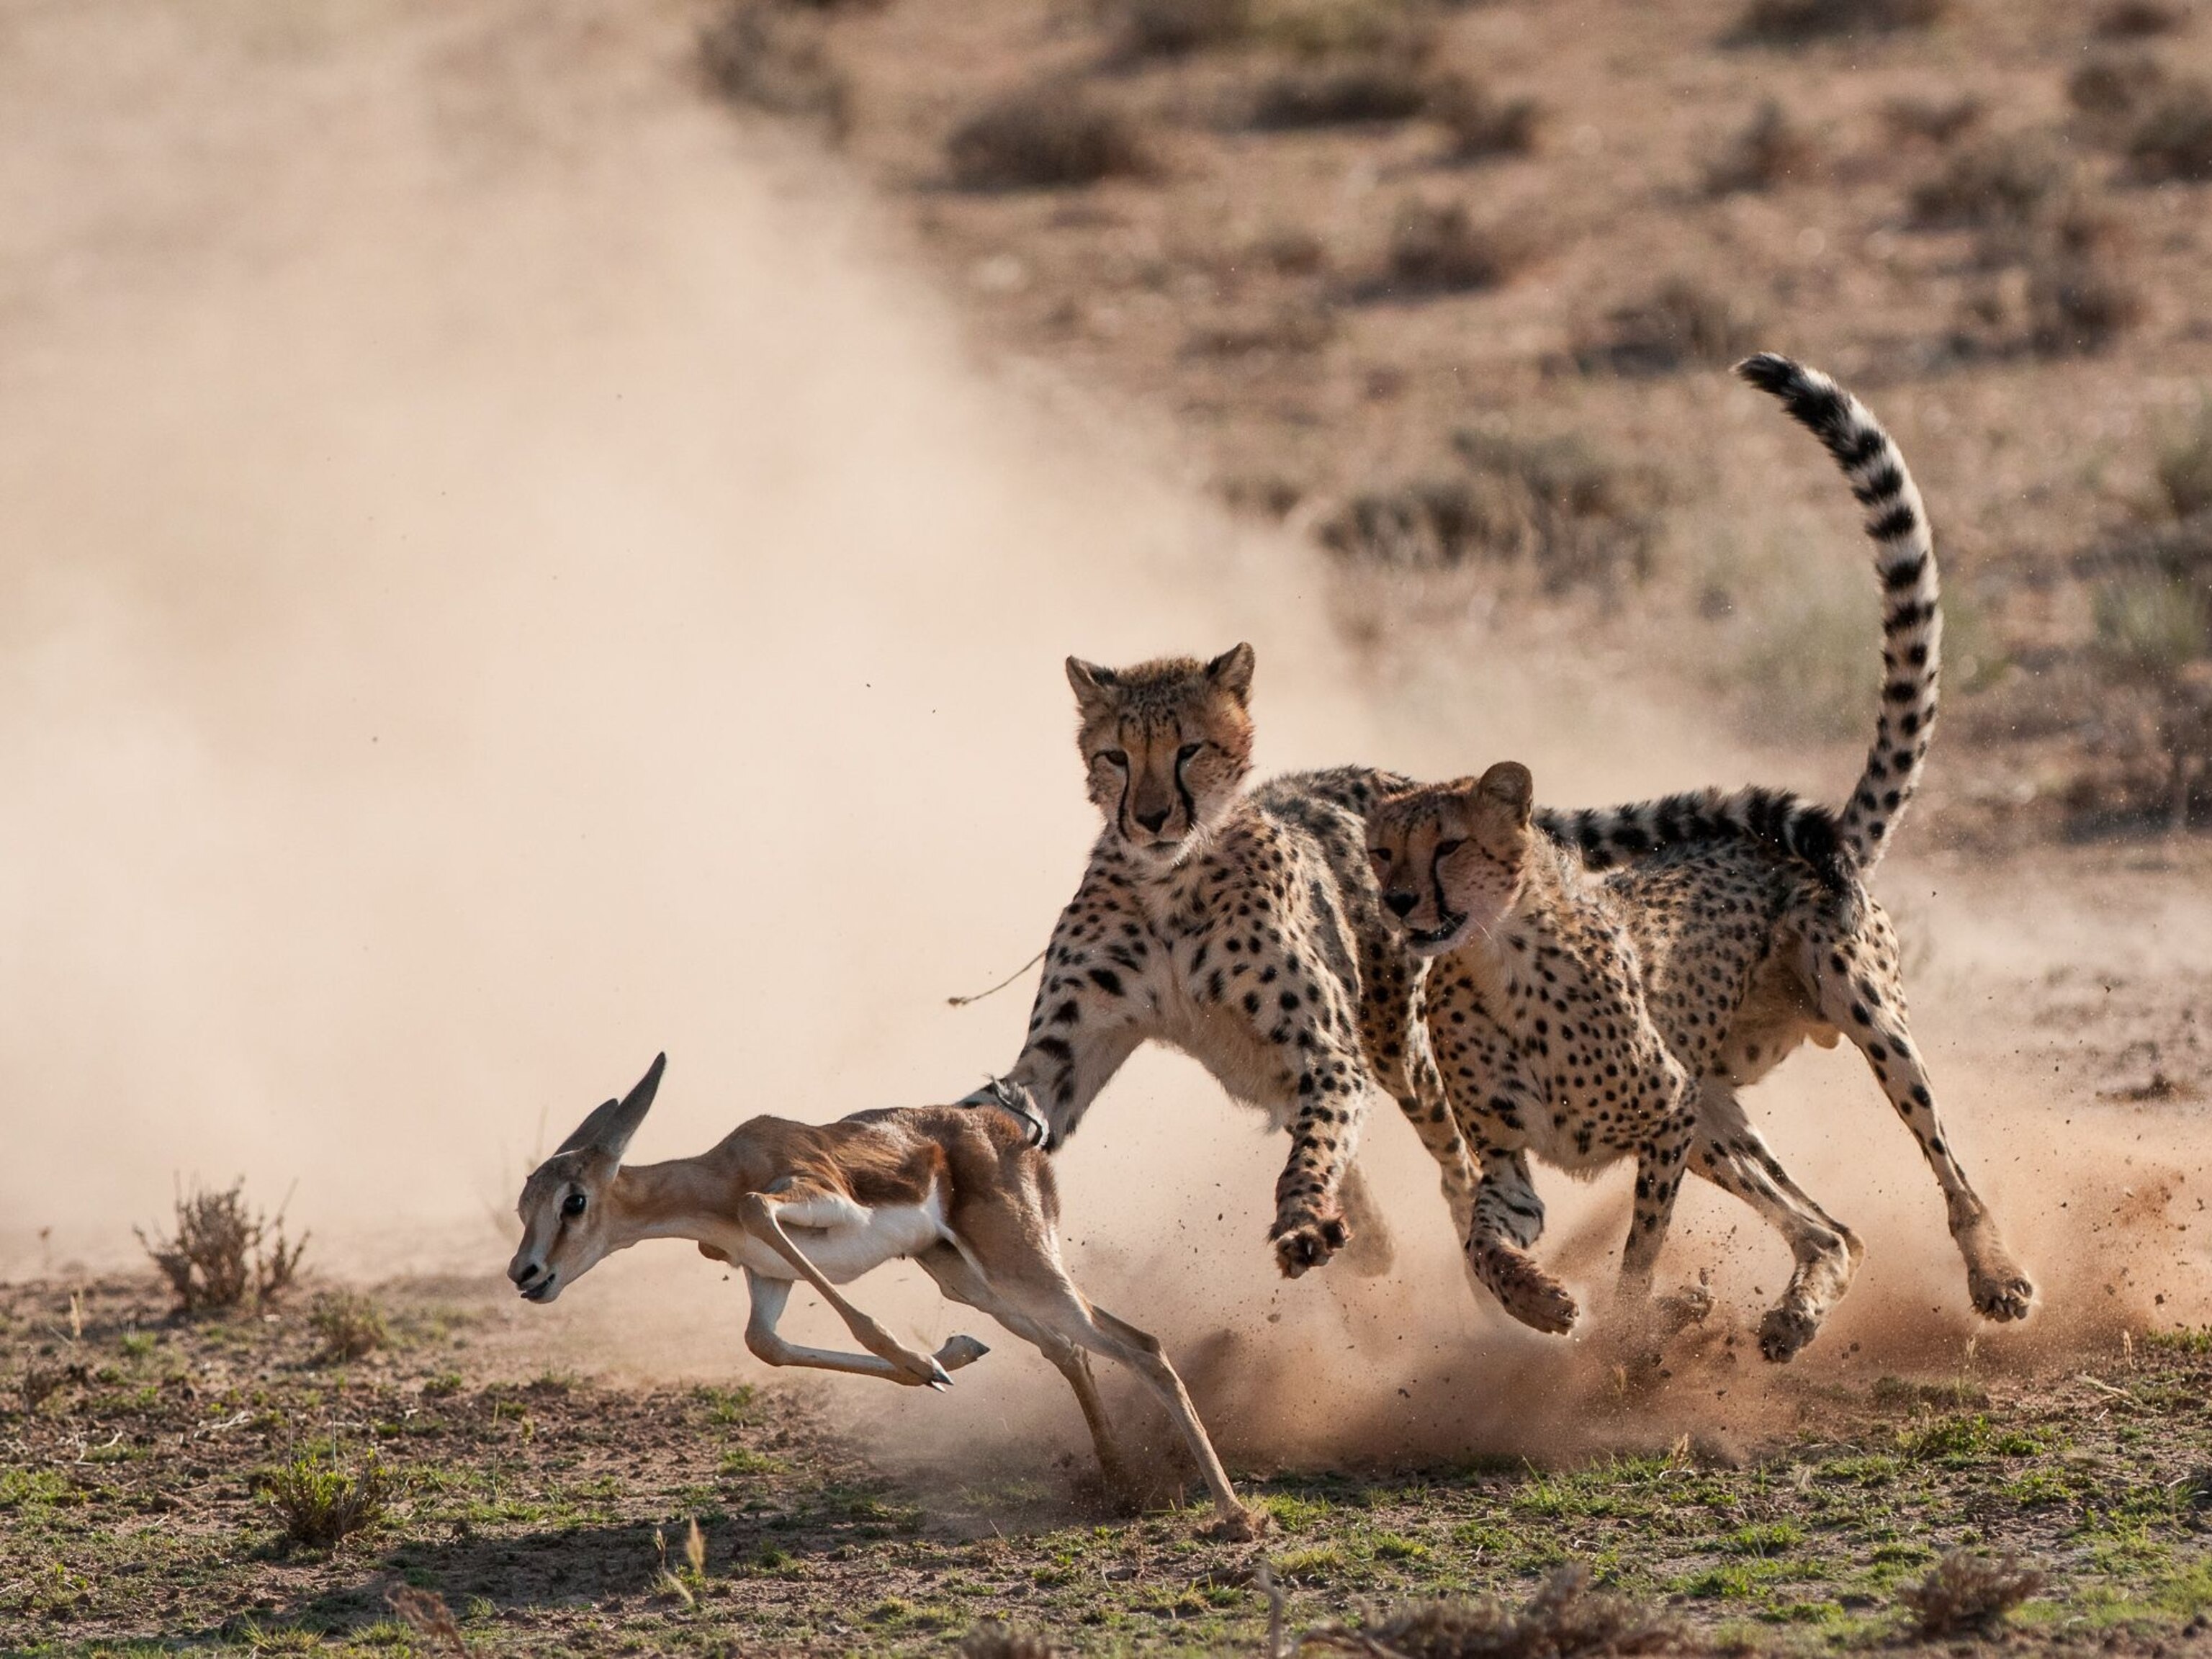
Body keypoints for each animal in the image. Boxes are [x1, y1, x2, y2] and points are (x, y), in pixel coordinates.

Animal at [1362, 352, 2036, 1361]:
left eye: (1447, 845)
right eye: (1381, 853)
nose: (1402, 904)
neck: (1496, 966)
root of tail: (1794, 841)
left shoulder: (1667, 1114)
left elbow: (1641, 1250)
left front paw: (1629, 1331)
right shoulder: (1517, 1157)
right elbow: (1485, 1238)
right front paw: (1541, 1302)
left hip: (1859, 1010)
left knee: (1943, 1166)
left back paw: (1992, 1276)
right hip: (1722, 1110)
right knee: (1834, 1232)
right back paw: (1794, 1314)